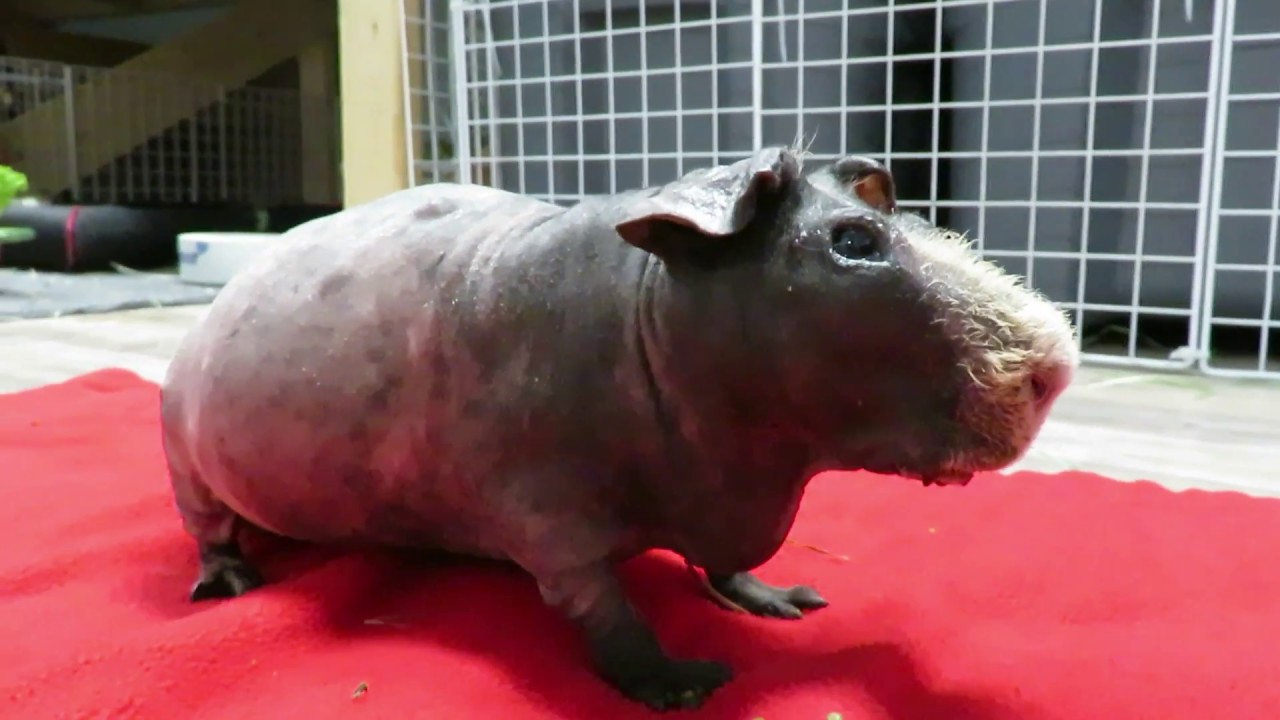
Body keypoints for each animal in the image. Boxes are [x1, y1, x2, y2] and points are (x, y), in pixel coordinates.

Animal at [159, 146, 1079, 711]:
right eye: (853, 240)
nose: (1057, 366)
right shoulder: (554, 530)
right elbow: (608, 614)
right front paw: (687, 683)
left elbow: (727, 566)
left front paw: (788, 603)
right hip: (187, 470)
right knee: (209, 535)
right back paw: (231, 584)